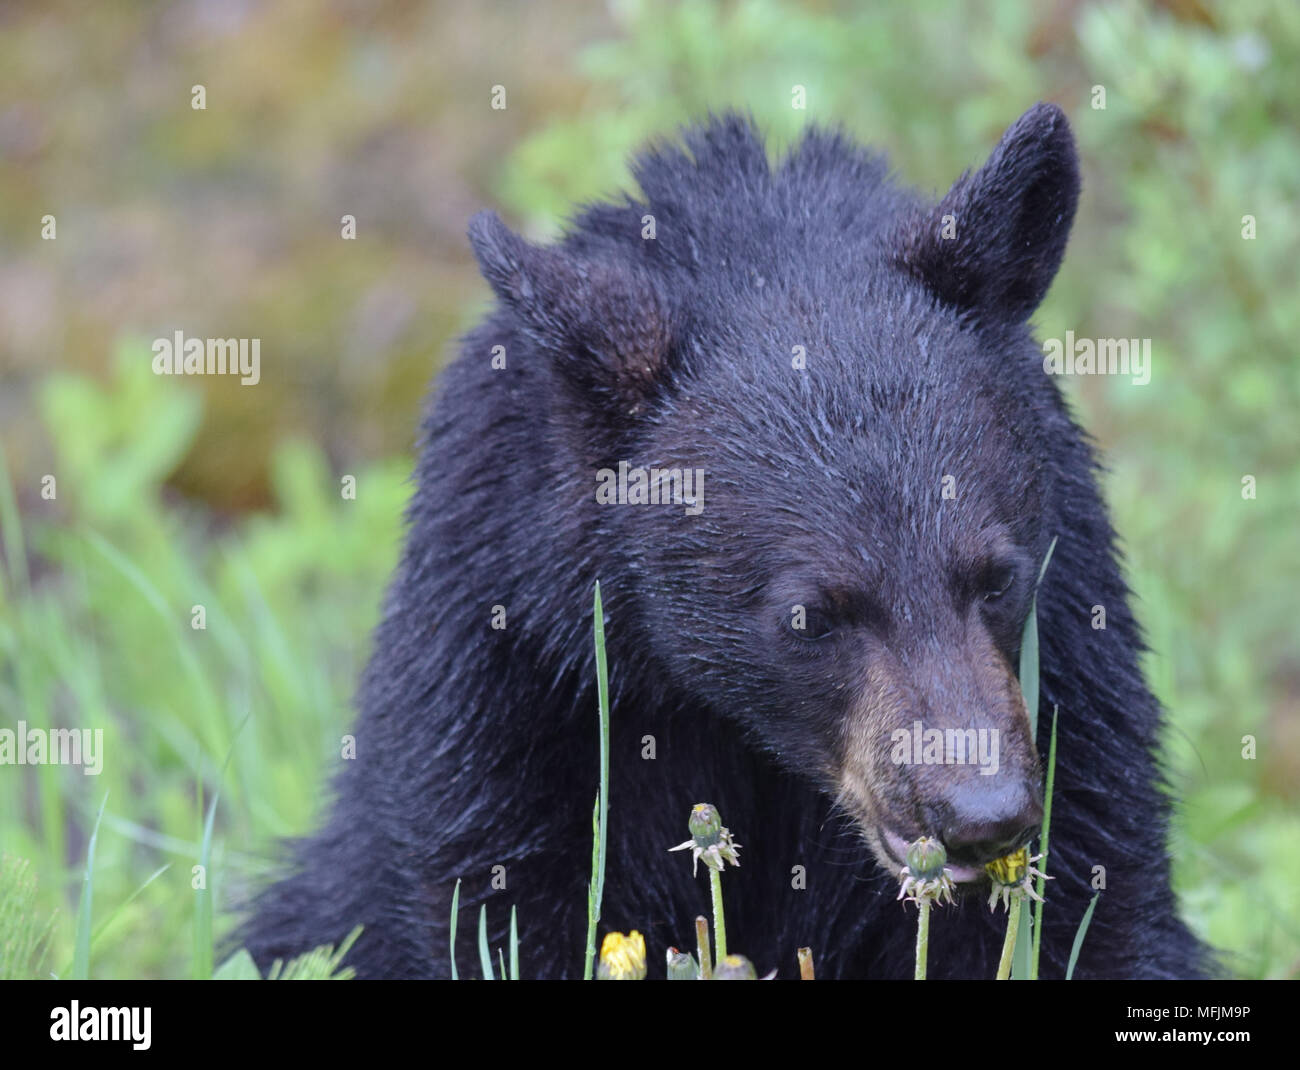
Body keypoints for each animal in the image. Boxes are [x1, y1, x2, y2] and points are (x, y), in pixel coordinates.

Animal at [239, 103, 1213, 979]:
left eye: (997, 578)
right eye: (811, 616)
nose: (983, 812)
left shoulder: (1074, 663)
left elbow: (1095, 890)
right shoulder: (517, 664)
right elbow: (491, 895)